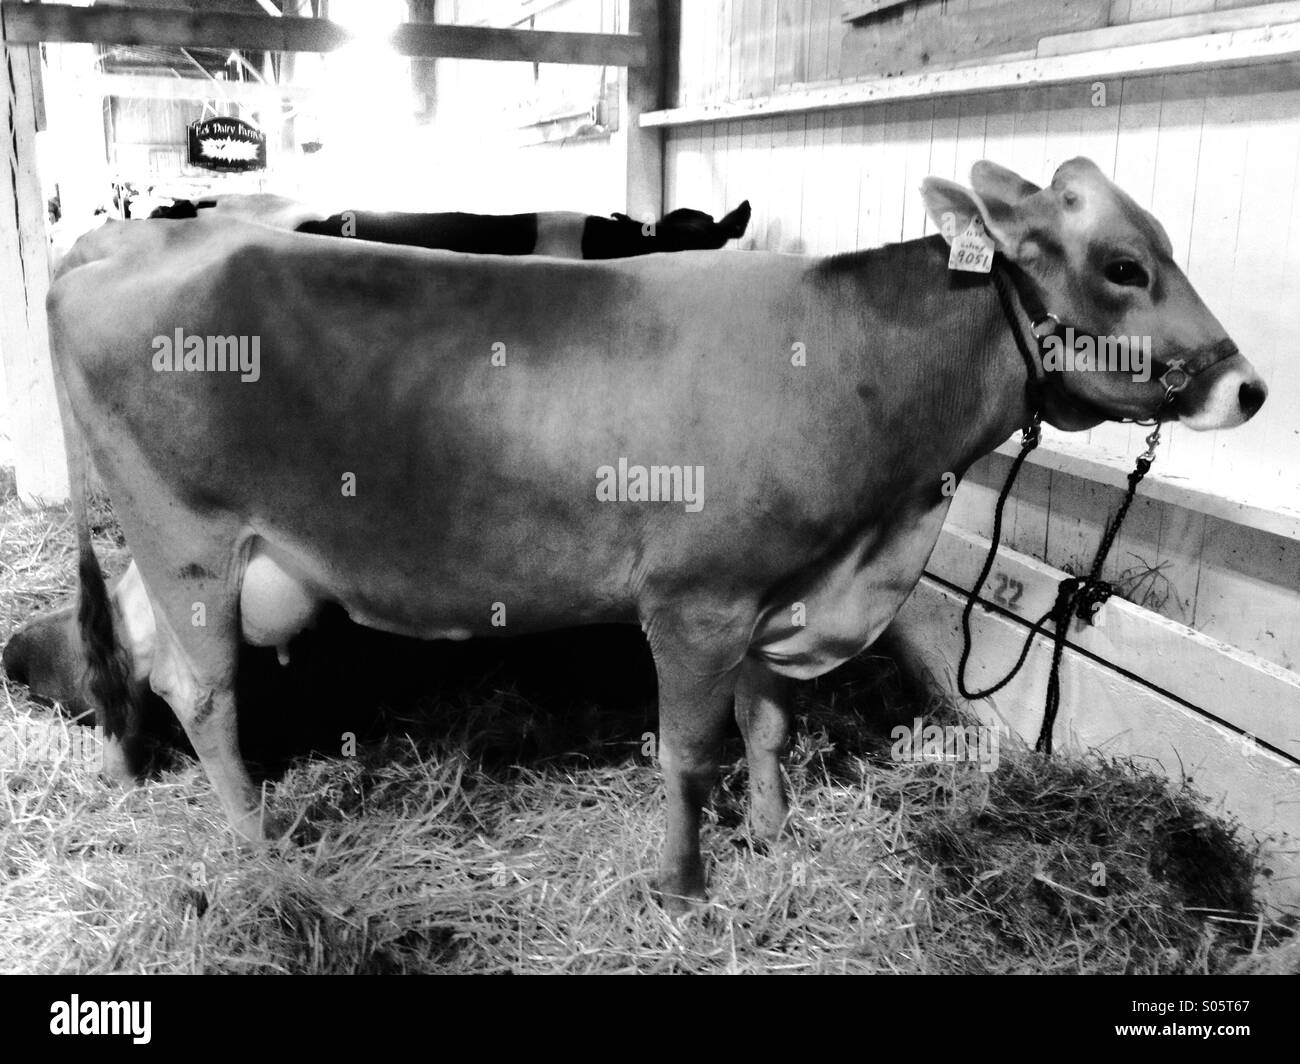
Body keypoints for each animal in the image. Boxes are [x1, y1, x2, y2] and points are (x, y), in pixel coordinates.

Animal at [38, 159, 1265, 911]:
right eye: (1123, 266)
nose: (1249, 386)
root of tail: (125, 243)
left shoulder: (784, 589)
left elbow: (769, 728)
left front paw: (770, 836)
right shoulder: (696, 602)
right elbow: (686, 753)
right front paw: (682, 887)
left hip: (187, 555)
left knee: (132, 657)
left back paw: (125, 766)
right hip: (191, 541)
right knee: (205, 692)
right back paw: (259, 853)